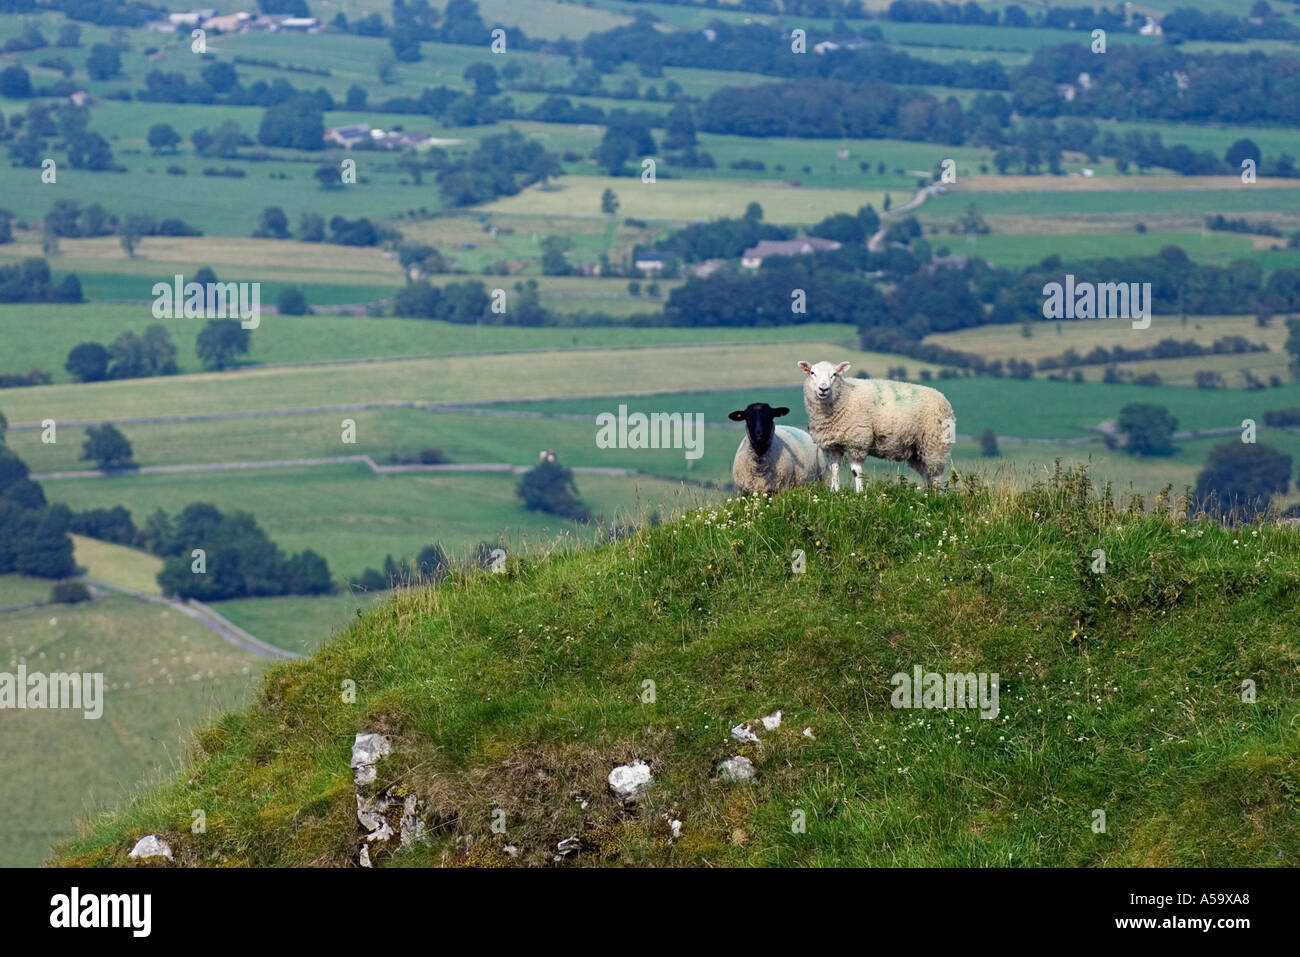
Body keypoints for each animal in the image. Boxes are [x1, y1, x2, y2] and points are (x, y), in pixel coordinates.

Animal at [797, 360, 954, 492]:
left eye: (834, 374)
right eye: (812, 373)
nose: (823, 389)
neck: (843, 397)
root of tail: (944, 400)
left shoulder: (857, 441)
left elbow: (856, 471)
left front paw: (859, 492)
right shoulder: (833, 445)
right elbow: (835, 469)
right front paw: (834, 491)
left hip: (935, 443)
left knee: (936, 473)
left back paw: (937, 494)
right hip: (917, 449)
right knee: (926, 472)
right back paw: (929, 493)